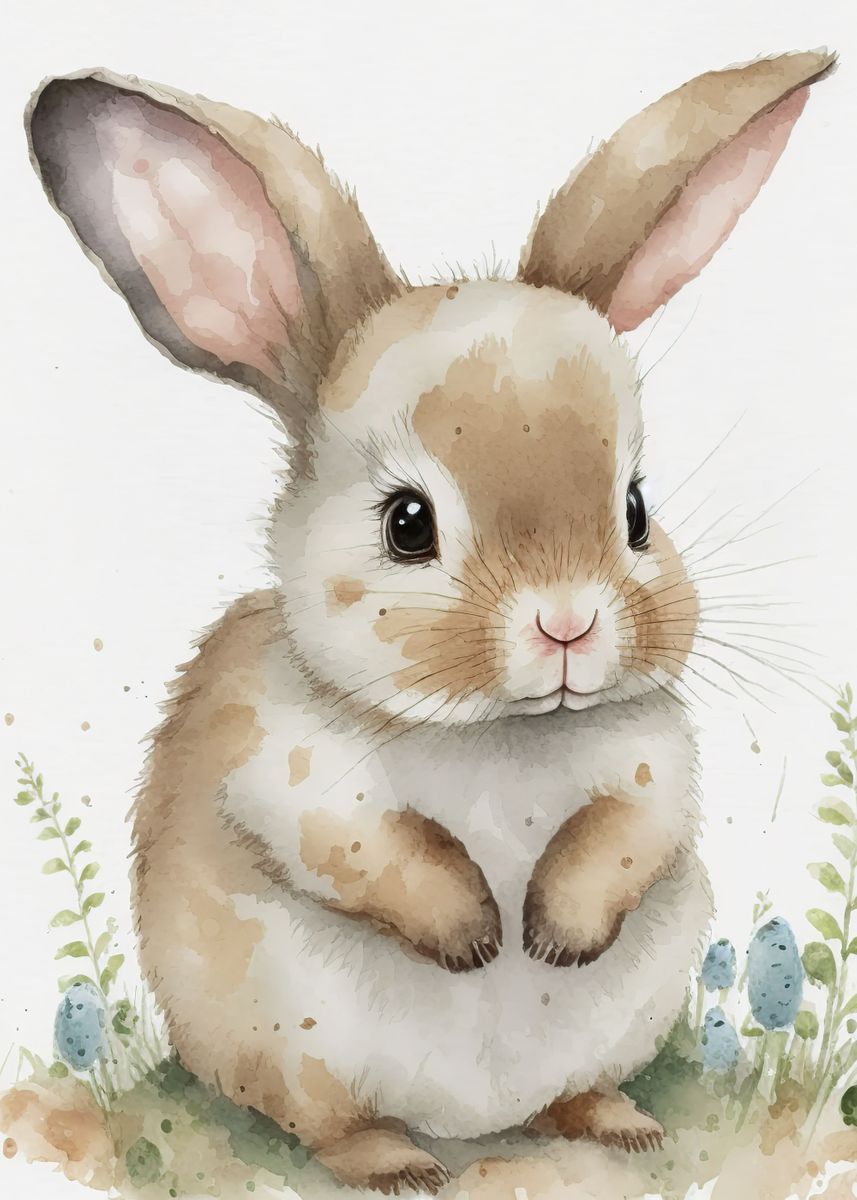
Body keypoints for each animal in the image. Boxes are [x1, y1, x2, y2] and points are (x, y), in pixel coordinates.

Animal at [26, 48, 833, 1195]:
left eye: (634, 509)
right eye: (406, 524)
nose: (567, 627)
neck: (497, 731)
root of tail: (474, 1123)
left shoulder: (650, 772)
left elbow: (625, 835)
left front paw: (549, 938)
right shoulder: (292, 776)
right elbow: (373, 849)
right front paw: (477, 938)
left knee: (572, 1092)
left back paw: (619, 1124)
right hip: (294, 1047)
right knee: (324, 1123)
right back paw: (394, 1160)